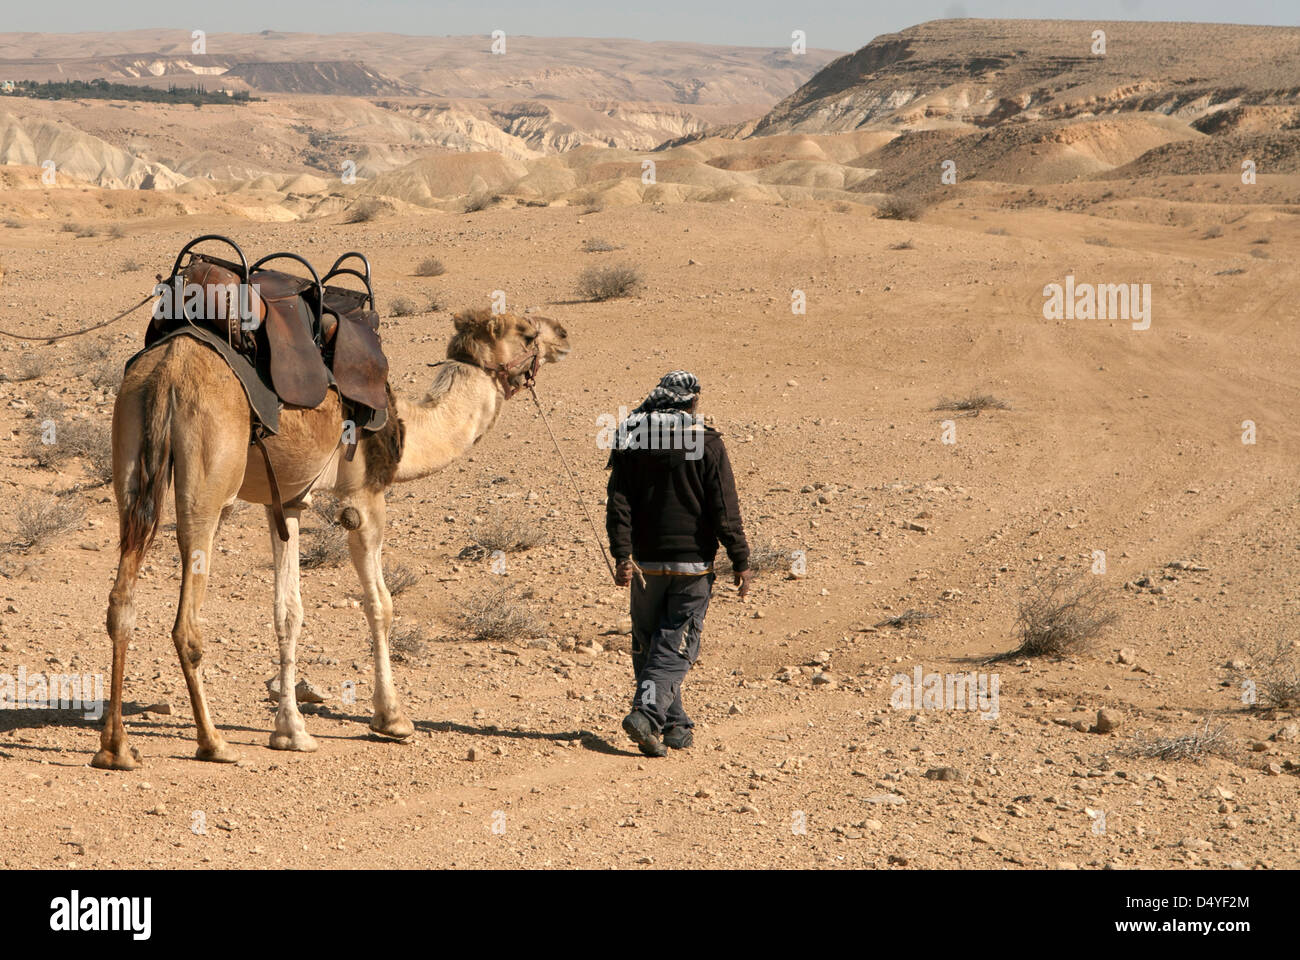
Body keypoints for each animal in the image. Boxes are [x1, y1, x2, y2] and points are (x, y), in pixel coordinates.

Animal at [92, 306, 570, 770]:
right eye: (528, 333)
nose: (563, 335)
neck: (407, 424)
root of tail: (168, 372)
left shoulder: (286, 502)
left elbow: (288, 612)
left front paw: (291, 732)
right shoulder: (364, 498)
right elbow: (380, 604)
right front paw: (392, 719)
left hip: (129, 458)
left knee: (121, 602)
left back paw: (117, 748)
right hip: (208, 488)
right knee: (186, 622)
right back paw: (213, 743)